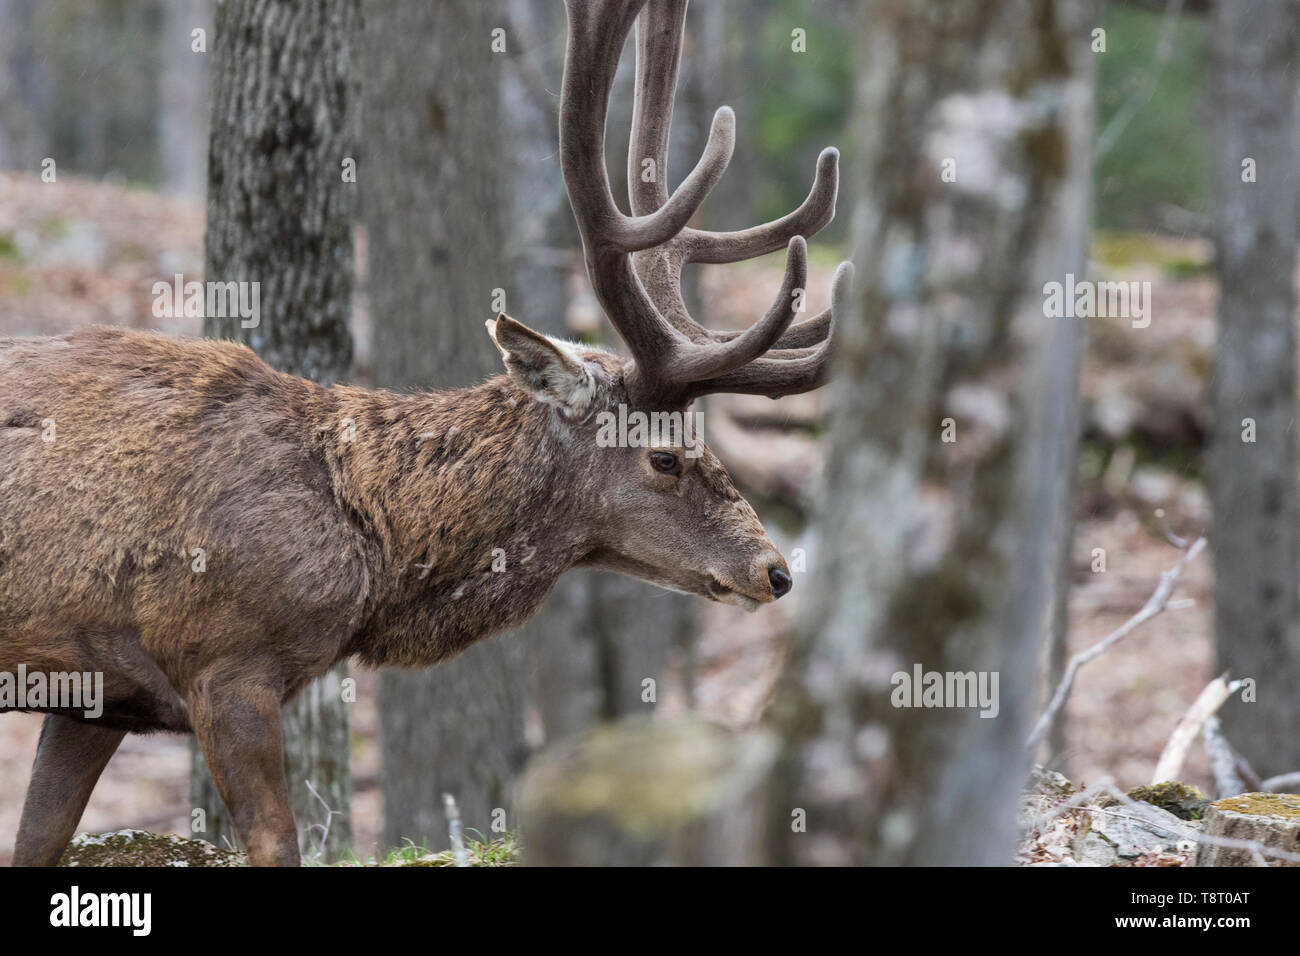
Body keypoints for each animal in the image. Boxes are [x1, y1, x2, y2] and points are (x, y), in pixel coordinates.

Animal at [0, 0, 852, 867]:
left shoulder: (97, 694)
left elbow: (37, 839)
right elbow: (277, 842)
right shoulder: (222, 661)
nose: (774, 570)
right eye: (665, 457)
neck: (367, 548)